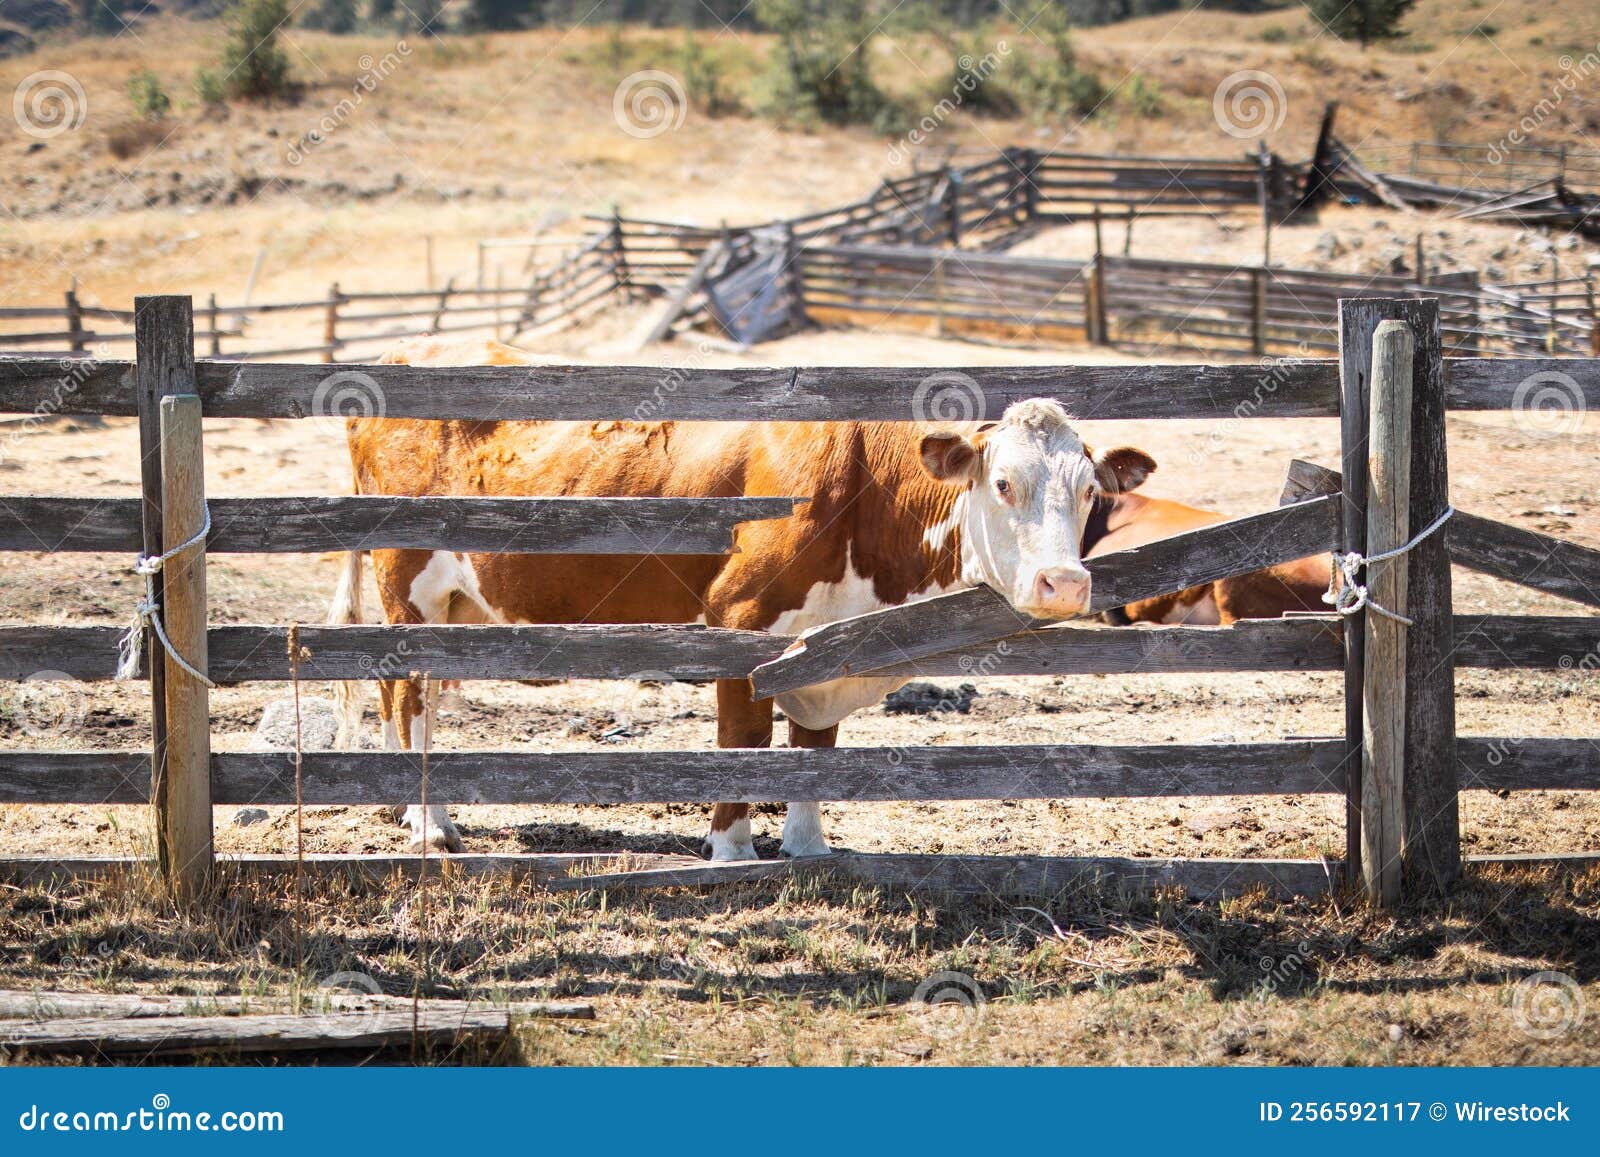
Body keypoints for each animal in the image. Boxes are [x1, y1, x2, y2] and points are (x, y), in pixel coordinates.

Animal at [328, 339, 1158, 860]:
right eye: (1003, 482)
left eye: (1091, 491)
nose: (1066, 583)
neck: (862, 484)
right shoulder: (739, 618)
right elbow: (742, 738)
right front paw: (730, 846)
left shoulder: (829, 644)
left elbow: (813, 749)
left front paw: (808, 844)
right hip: (409, 588)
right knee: (410, 695)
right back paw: (431, 824)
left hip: (455, 603)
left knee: (404, 694)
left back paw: (405, 804)